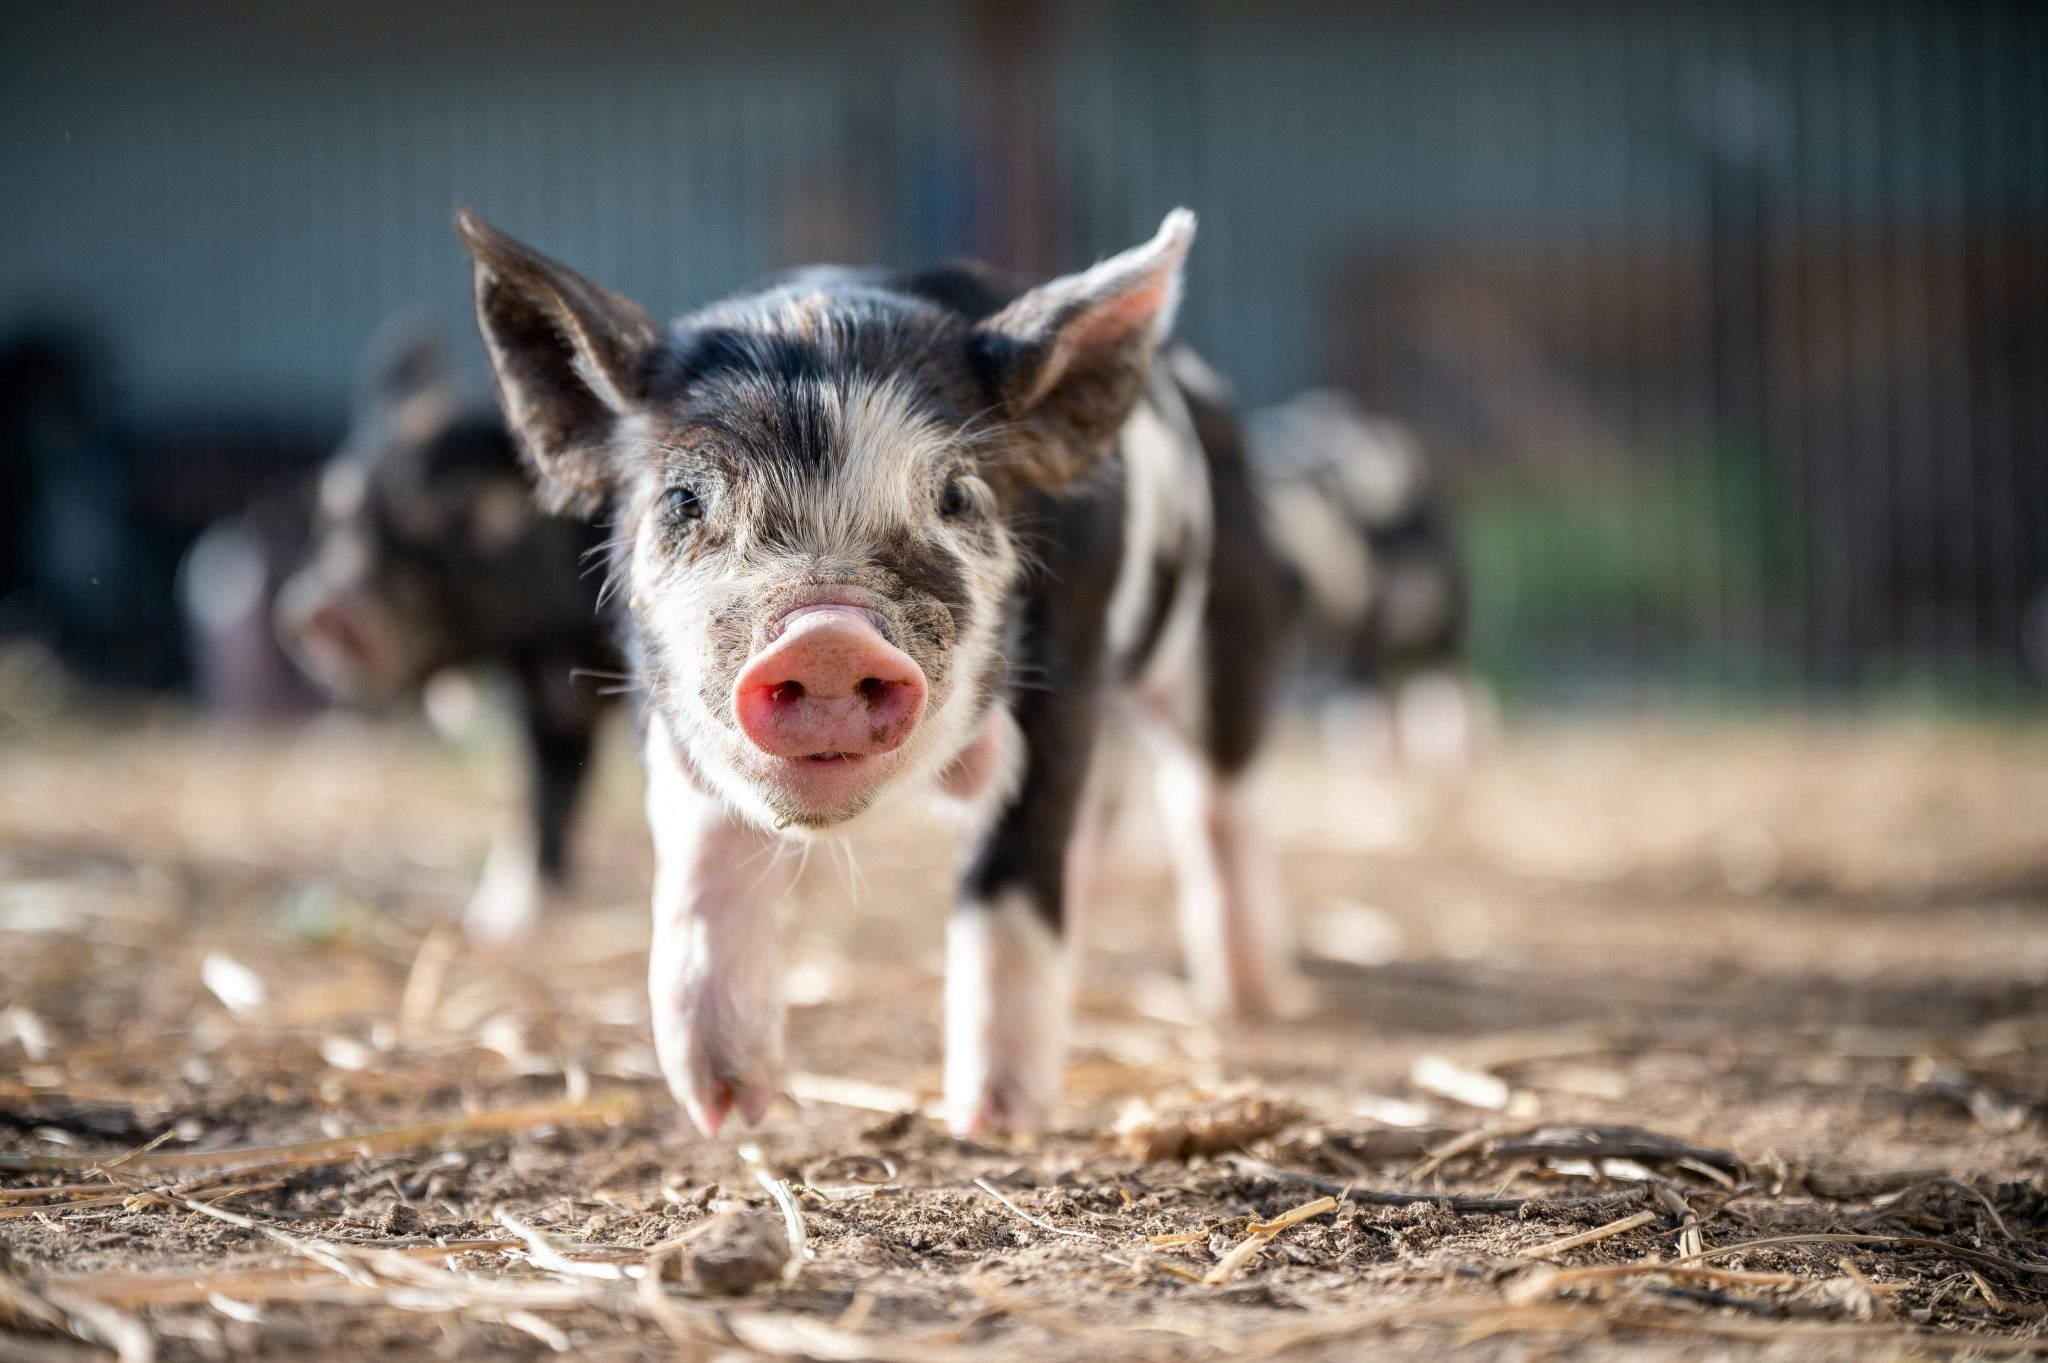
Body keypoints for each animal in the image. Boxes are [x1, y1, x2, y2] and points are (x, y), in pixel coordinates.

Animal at [273, 328, 618, 939]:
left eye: (455, 514)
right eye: (336, 518)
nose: (317, 607)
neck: (565, 638)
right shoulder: (542, 696)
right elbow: (541, 786)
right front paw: (502, 921)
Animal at [454, 206, 1298, 1137]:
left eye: (958, 496)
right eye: (683, 499)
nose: (826, 638)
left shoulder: (1068, 678)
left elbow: (1012, 872)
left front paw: (995, 1120)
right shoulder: (656, 696)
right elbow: (702, 849)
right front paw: (725, 1105)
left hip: (1229, 626)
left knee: (1213, 799)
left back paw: (1248, 996)